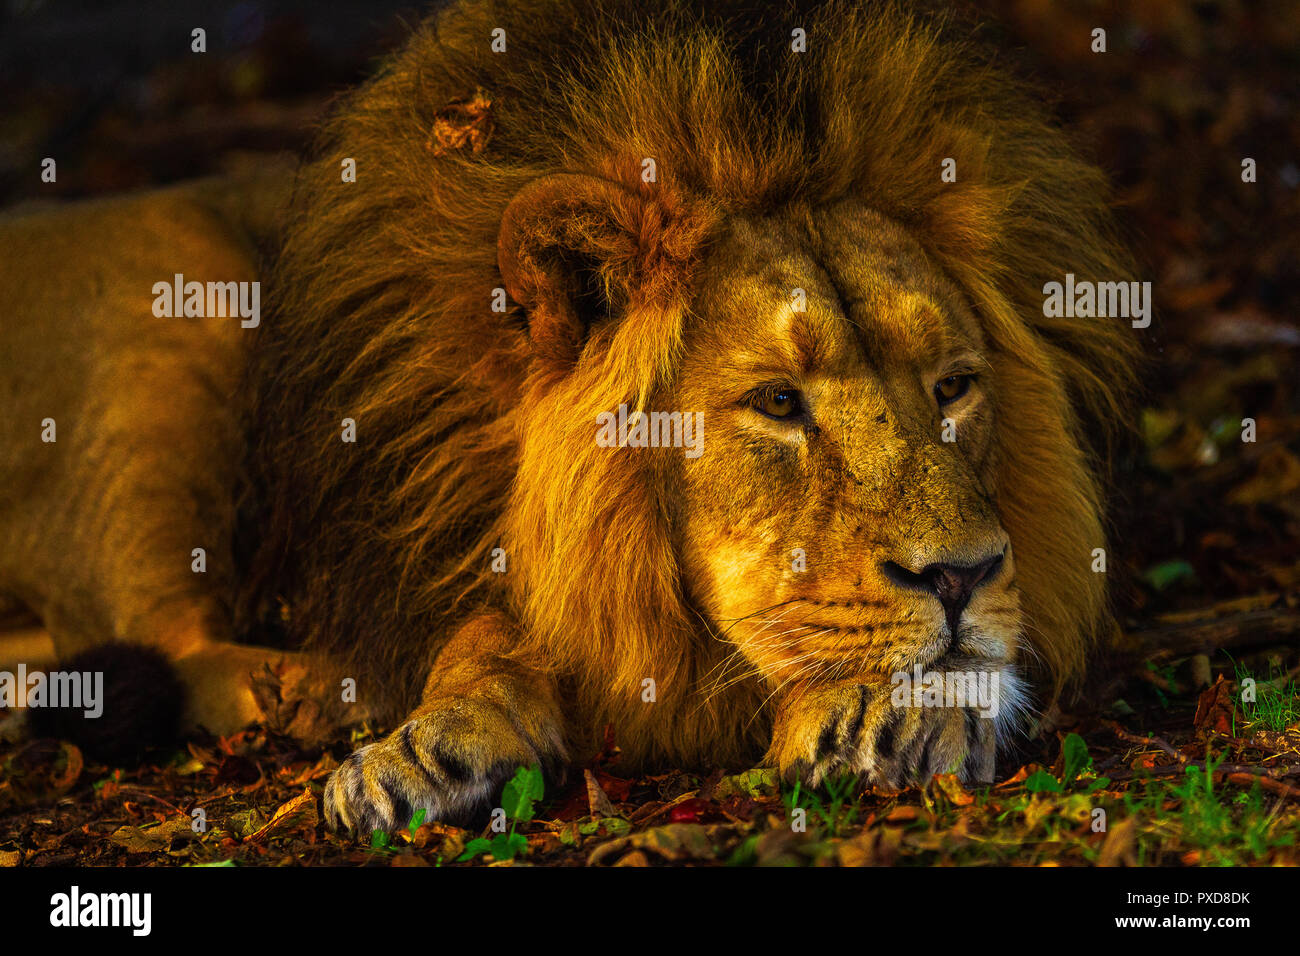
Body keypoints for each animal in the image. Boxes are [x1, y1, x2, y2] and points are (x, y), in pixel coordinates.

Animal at [0, 0, 1138, 835]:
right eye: (778, 401)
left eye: (953, 387)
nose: (960, 576)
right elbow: (483, 642)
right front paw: (420, 744)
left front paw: (906, 707)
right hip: (179, 280)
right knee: (169, 640)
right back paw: (330, 694)